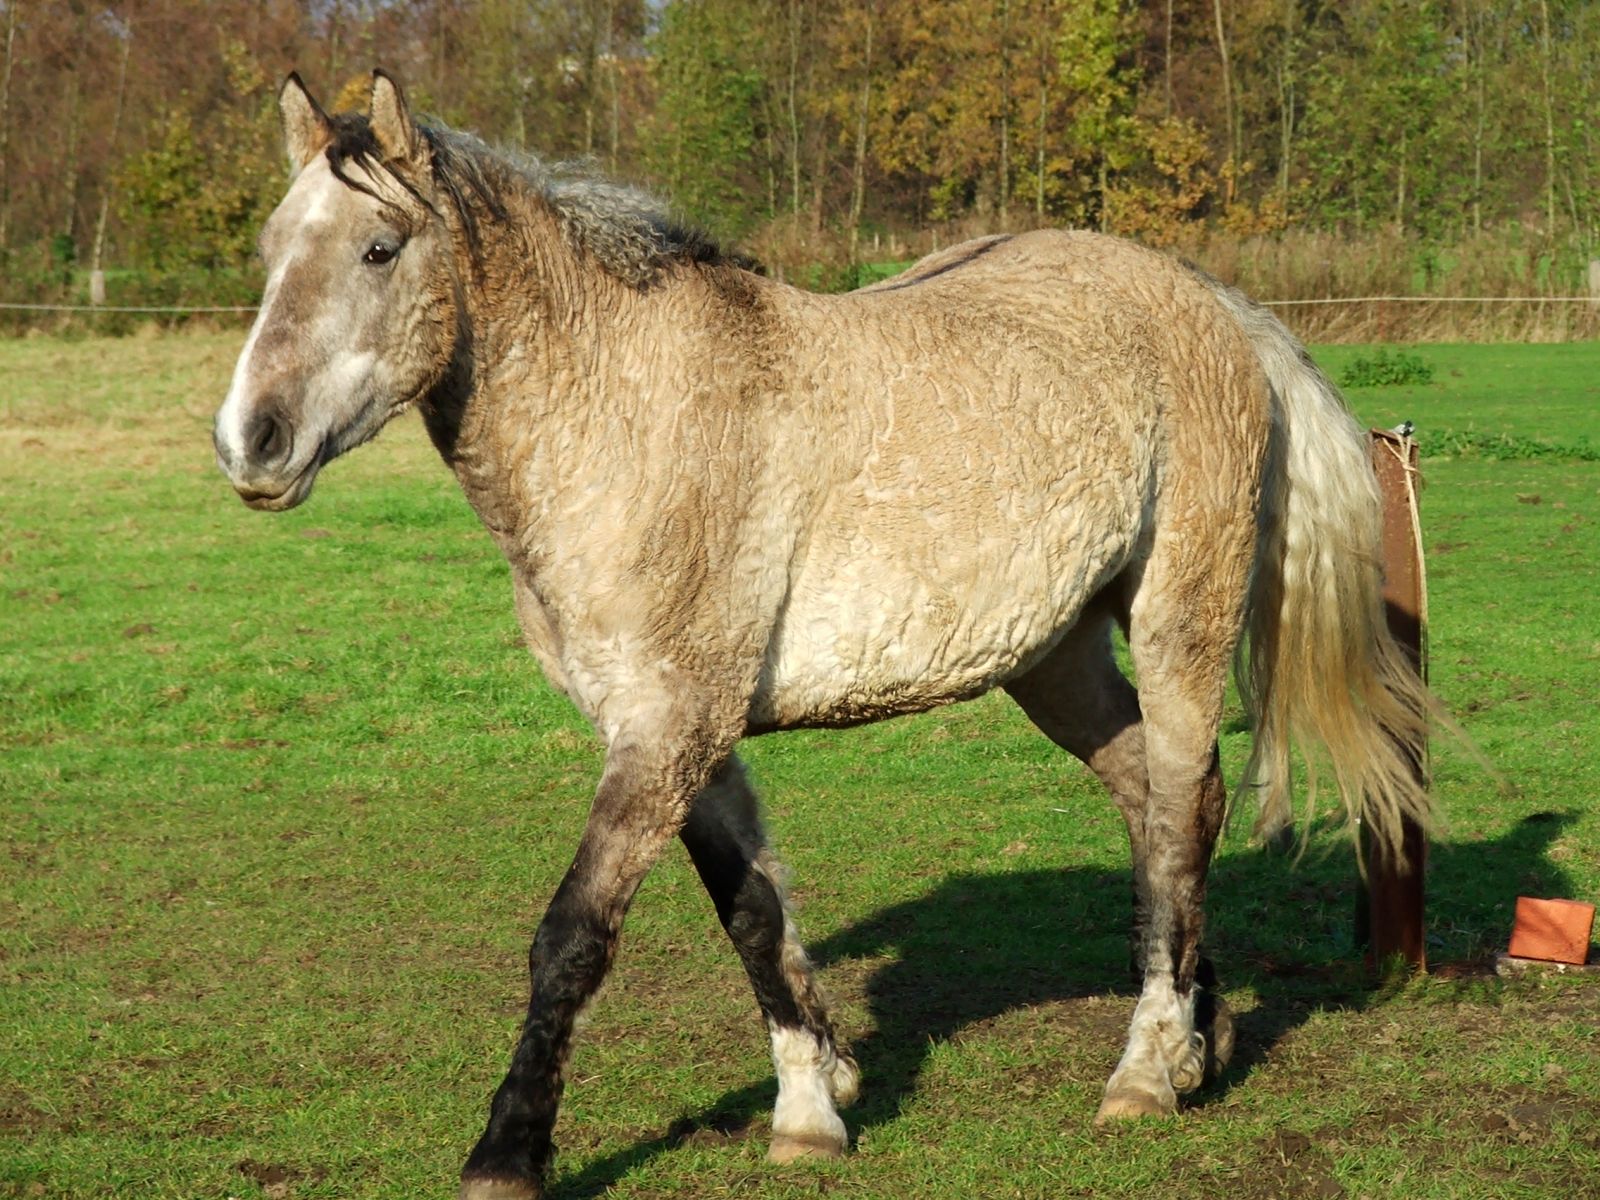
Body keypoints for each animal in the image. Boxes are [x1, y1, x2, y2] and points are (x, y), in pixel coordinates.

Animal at [212, 70, 1433, 1200]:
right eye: (271, 251)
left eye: (379, 249)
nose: (249, 442)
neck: (623, 413)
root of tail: (1217, 303)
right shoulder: (679, 735)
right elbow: (750, 909)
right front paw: (814, 1103)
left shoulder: (669, 727)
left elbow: (573, 935)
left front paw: (508, 1151)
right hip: (1054, 657)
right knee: (1161, 798)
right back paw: (1196, 1041)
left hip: (1178, 620)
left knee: (1180, 814)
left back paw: (1142, 1073)